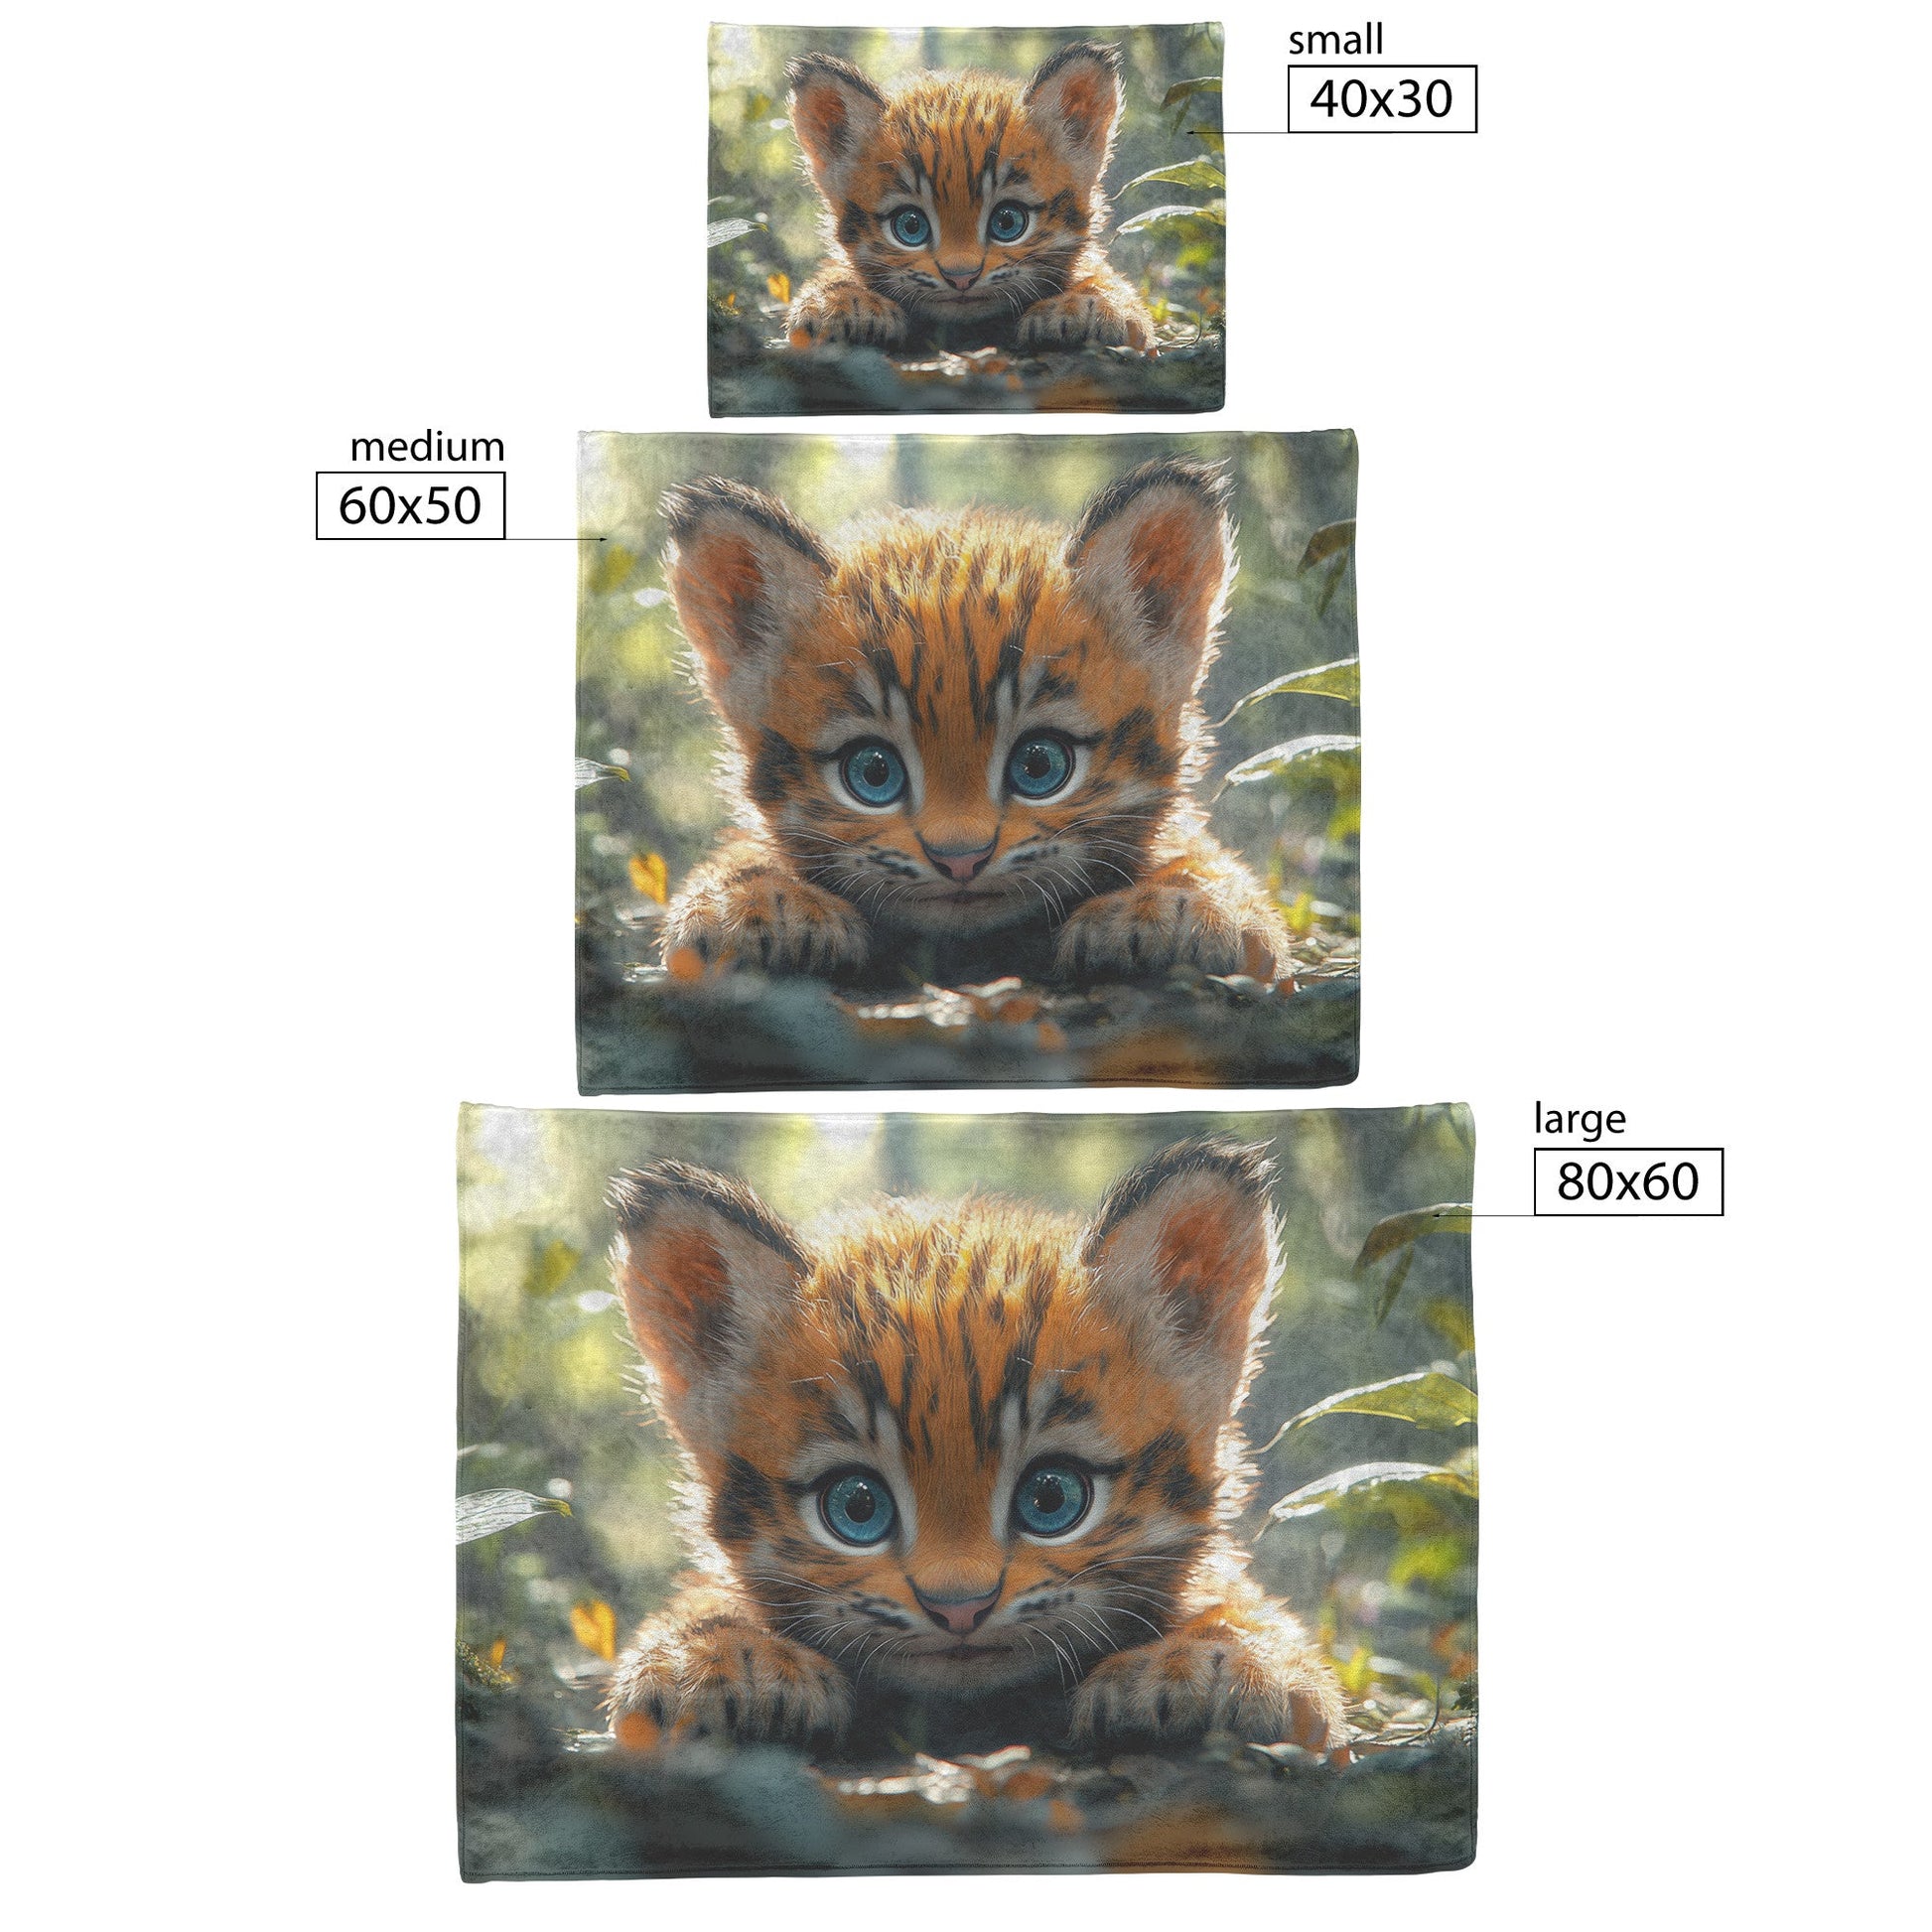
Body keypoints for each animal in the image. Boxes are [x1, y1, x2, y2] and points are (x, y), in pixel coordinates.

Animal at [602, 1137, 1349, 1759]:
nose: (958, 1607)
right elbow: (709, 1597)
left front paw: (1211, 1658)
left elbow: (1237, 1601)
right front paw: (727, 1659)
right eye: (857, 1508)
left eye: (1051, 1498)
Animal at [656, 456, 1291, 986]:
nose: (959, 859)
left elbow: (1202, 858)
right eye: (874, 774)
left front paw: (1174, 903)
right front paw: (763, 902)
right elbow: (745, 853)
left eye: (1039, 765)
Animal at [782, 40, 1156, 356]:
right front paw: (845, 302)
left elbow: (1100, 274)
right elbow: (837, 271)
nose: (961, 277)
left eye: (1007, 222)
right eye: (911, 226)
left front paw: (1087, 303)